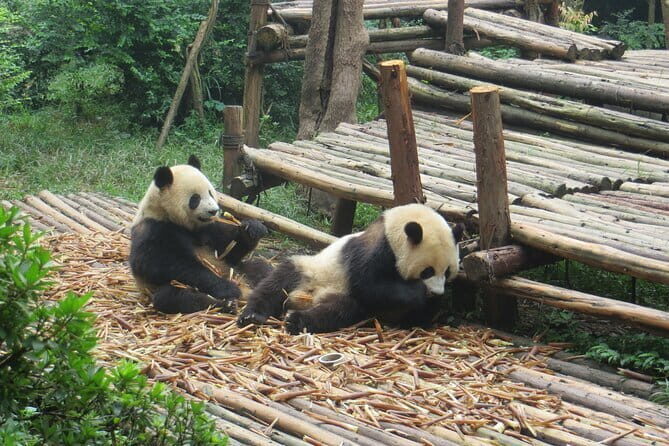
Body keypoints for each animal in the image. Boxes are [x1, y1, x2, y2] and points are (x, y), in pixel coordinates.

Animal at [129, 155, 269, 314]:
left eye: (210, 192)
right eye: (195, 198)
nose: (214, 211)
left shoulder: (207, 229)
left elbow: (228, 252)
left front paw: (253, 228)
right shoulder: (153, 229)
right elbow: (162, 263)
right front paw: (227, 288)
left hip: (240, 271)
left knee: (260, 268)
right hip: (159, 289)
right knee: (174, 297)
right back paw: (226, 303)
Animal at [238, 203, 463, 334]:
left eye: (448, 271)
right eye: (428, 271)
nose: (436, 292)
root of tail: (306, 297)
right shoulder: (374, 249)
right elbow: (370, 285)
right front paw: (417, 292)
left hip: (338, 295)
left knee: (339, 310)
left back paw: (298, 320)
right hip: (309, 269)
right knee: (277, 283)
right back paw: (253, 315)